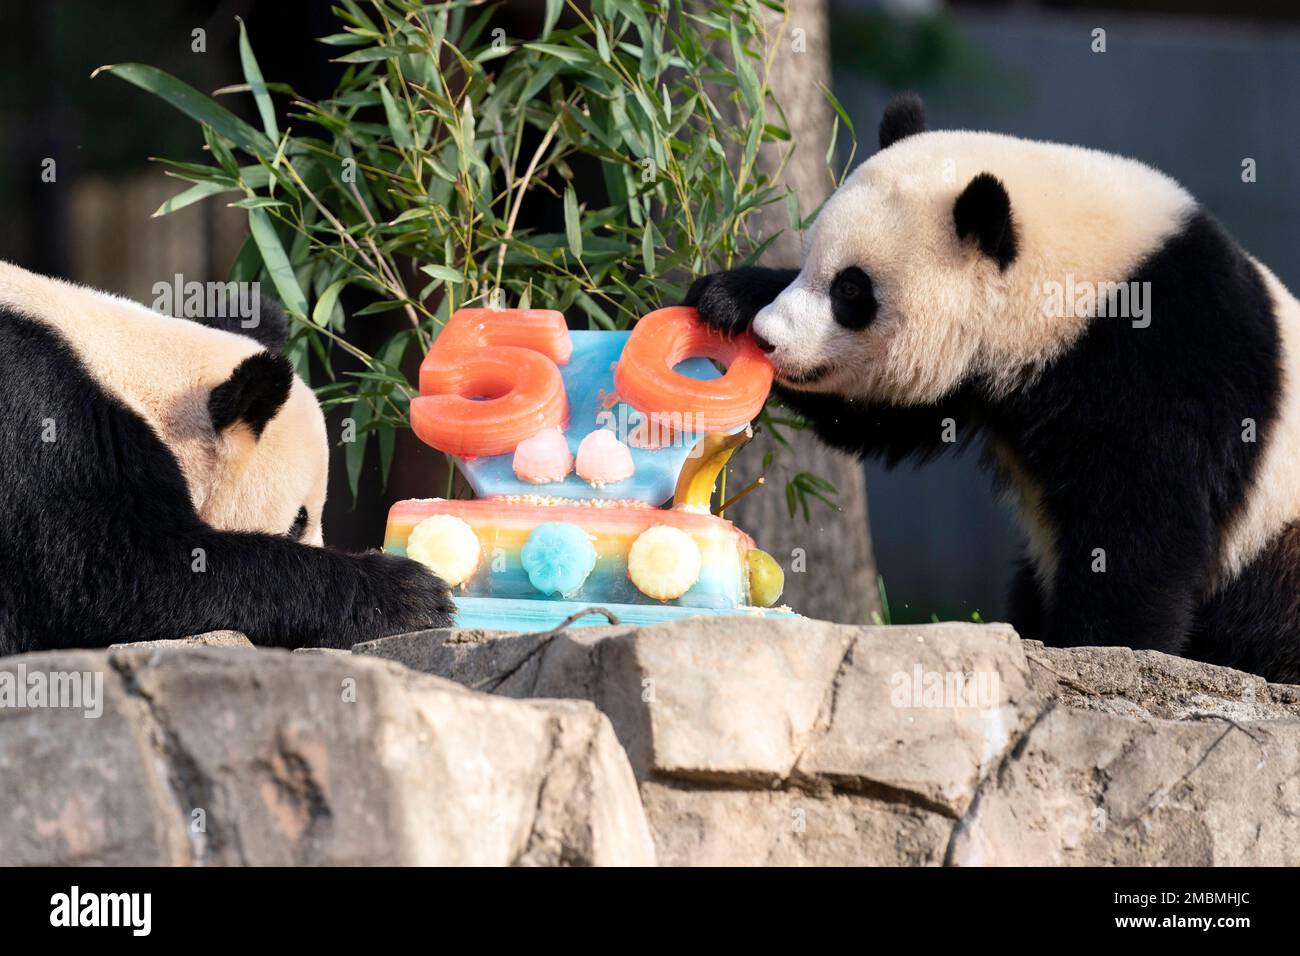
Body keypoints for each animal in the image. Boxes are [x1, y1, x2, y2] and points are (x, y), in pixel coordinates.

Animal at [688, 93, 1300, 685]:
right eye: (808, 262)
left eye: (851, 290)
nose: (769, 339)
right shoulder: (981, 380)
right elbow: (889, 415)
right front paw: (726, 298)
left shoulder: (1166, 356)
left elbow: (1145, 524)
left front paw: (1105, 649)